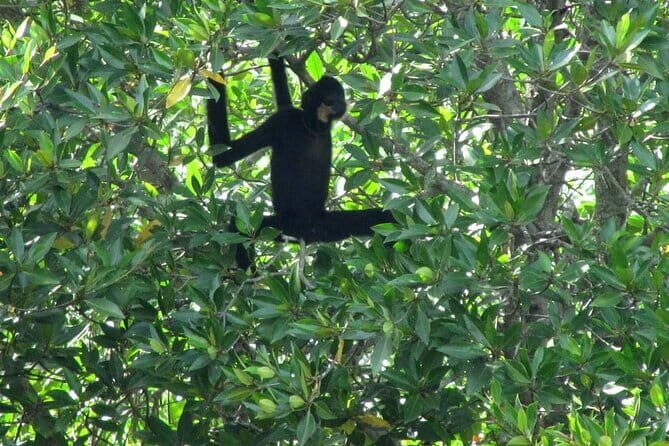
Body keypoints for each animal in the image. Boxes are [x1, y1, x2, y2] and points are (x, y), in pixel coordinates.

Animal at [207, 55, 394, 268]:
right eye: (329, 99)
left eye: (337, 99)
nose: (337, 105)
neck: (311, 128)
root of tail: (309, 230)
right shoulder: (283, 120)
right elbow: (223, 156)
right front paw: (215, 71)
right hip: (283, 226)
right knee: (240, 229)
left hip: (327, 224)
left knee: (386, 218)